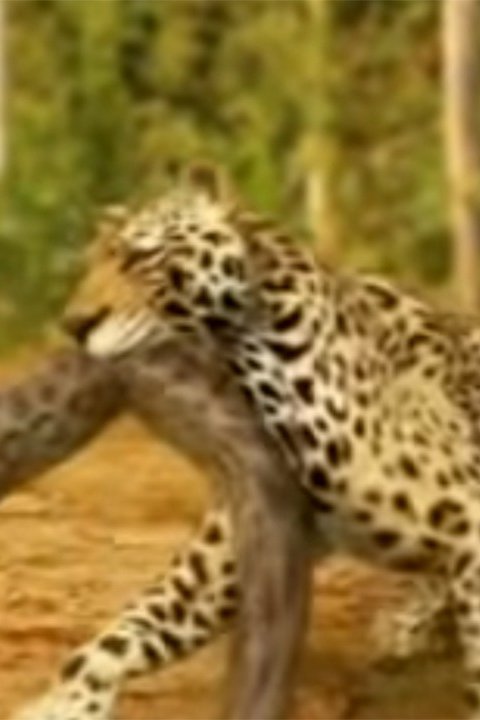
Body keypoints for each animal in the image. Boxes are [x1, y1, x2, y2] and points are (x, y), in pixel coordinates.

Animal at [52, 160, 480, 719]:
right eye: (90, 263)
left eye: (139, 257)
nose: (74, 324)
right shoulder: (220, 568)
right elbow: (109, 644)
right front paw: (62, 705)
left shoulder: (471, 524)